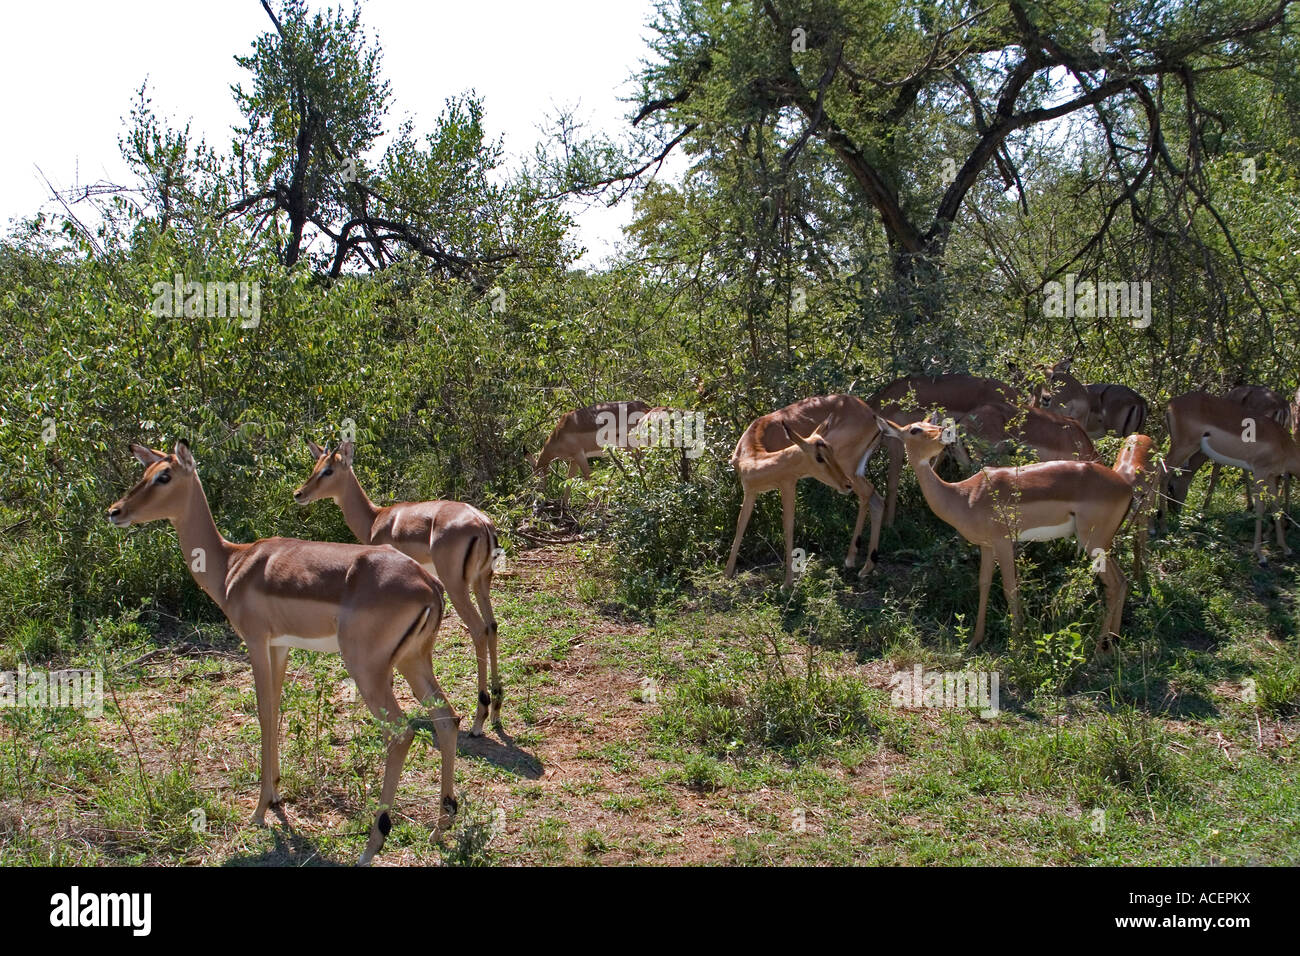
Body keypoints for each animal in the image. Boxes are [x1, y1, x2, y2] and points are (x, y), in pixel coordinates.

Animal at [108, 442, 460, 865]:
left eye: (164, 475)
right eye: (143, 473)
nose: (115, 511)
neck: (232, 564)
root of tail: (429, 585)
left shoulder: (256, 642)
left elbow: (263, 713)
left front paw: (260, 811)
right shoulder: (280, 647)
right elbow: (276, 710)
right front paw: (275, 796)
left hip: (368, 669)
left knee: (402, 732)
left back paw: (372, 843)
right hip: (413, 661)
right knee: (446, 718)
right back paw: (441, 826)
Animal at [294, 440, 503, 736]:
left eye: (329, 470)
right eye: (316, 466)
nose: (299, 494)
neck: (376, 519)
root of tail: (482, 523)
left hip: (456, 586)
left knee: (478, 629)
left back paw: (478, 719)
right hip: (481, 581)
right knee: (492, 625)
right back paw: (496, 711)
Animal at [726, 394, 884, 587]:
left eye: (829, 451)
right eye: (819, 457)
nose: (846, 484)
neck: (750, 450)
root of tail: (872, 416)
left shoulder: (788, 484)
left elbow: (788, 527)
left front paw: (787, 583)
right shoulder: (750, 491)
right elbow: (741, 525)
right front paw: (727, 574)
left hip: (850, 469)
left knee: (868, 494)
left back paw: (850, 560)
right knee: (876, 500)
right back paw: (866, 567)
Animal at [876, 416, 1146, 651]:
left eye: (929, 425)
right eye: (914, 429)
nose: (945, 432)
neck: (964, 496)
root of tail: (1127, 488)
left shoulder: (1003, 542)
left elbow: (1010, 587)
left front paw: (1016, 644)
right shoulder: (986, 545)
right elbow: (984, 584)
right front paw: (975, 641)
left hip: (1093, 542)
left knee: (1115, 584)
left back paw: (1100, 649)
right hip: (1102, 543)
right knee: (1122, 582)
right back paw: (1113, 642)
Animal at [1161, 391, 1300, 564]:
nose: (1175, 511)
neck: (1283, 443)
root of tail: (1172, 403)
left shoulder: (1271, 475)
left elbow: (1275, 506)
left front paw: (1285, 548)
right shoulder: (1260, 472)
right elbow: (1260, 507)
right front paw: (1260, 555)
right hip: (1183, 447)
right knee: (1162, 472)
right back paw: (1162, 525)